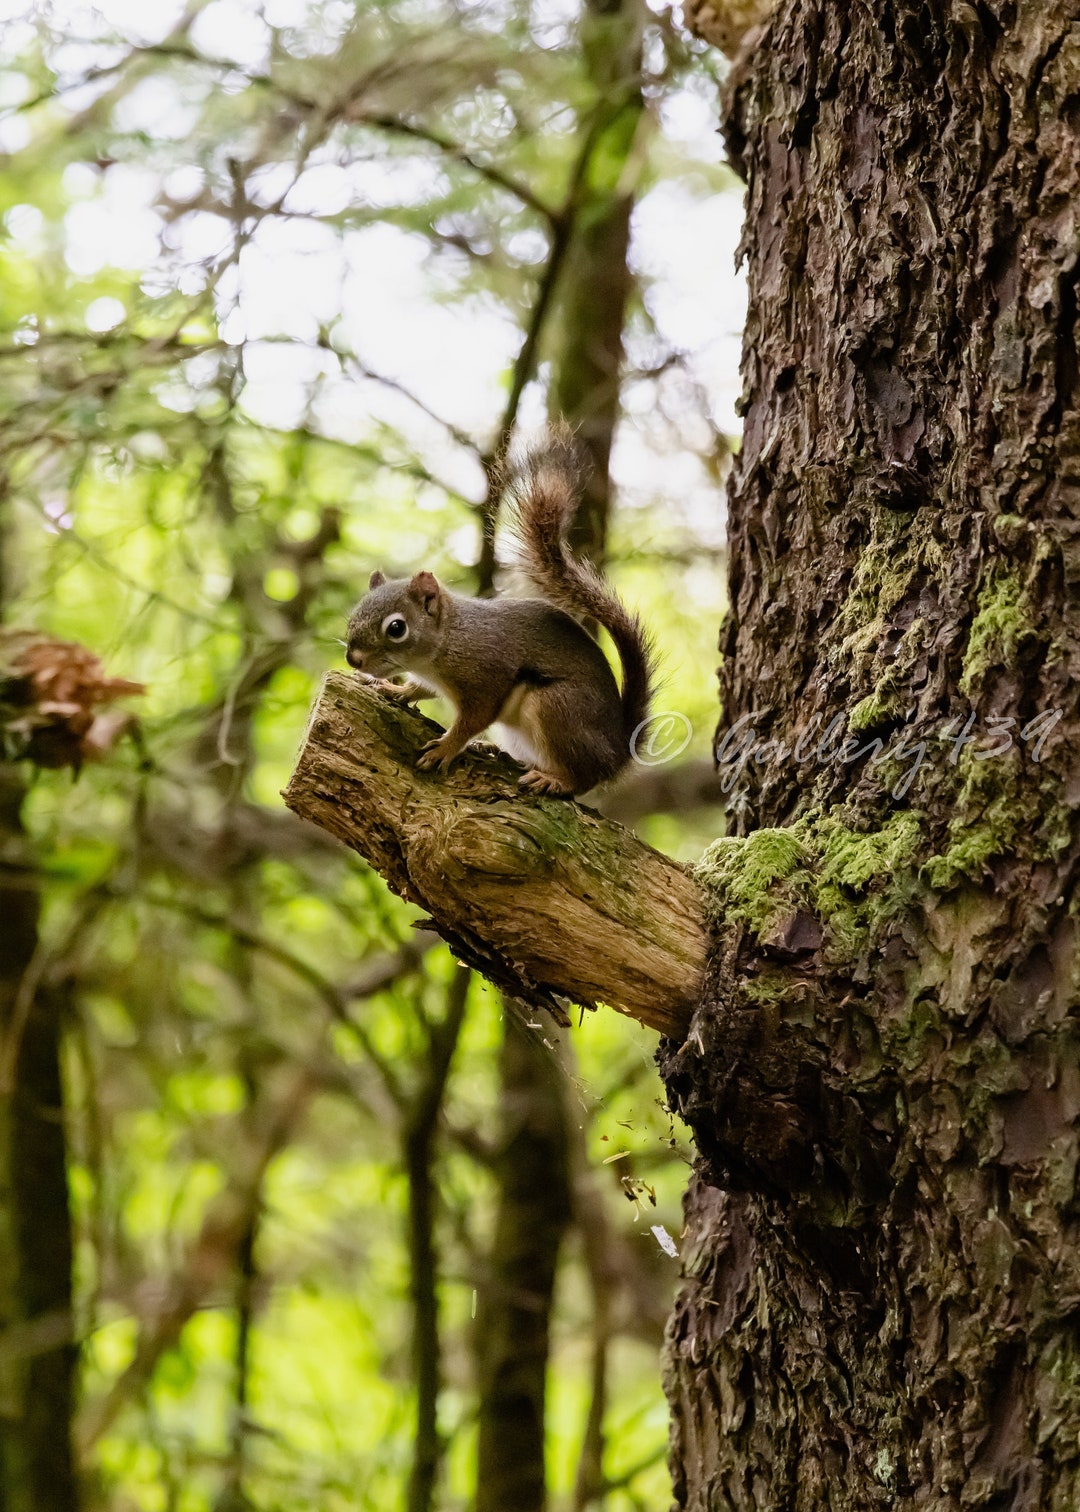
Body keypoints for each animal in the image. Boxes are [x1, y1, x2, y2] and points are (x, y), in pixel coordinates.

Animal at [344, 430, 655, 797]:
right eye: (353, 616)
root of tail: (618, 752)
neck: (446, 644)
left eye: (396, 628)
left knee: (582, 780)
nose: (353, 659)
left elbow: (472, 721)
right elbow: (420, 689)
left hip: (557, 707)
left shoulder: (487, 681)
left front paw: (445, 748)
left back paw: (553, 779)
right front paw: (397, 691)